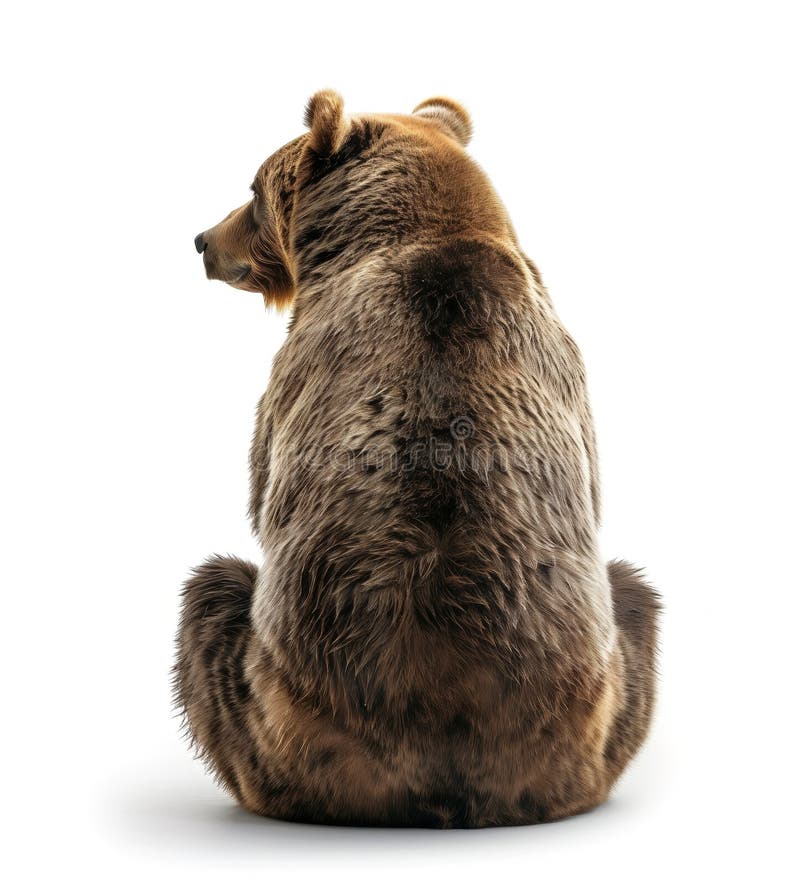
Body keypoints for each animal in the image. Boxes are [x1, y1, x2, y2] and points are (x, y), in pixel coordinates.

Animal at [176, 91, 660, 827]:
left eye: (252, 192)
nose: (204, 240)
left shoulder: (297, 364)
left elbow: (260, 487)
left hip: (268, 707)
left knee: (213, 589)